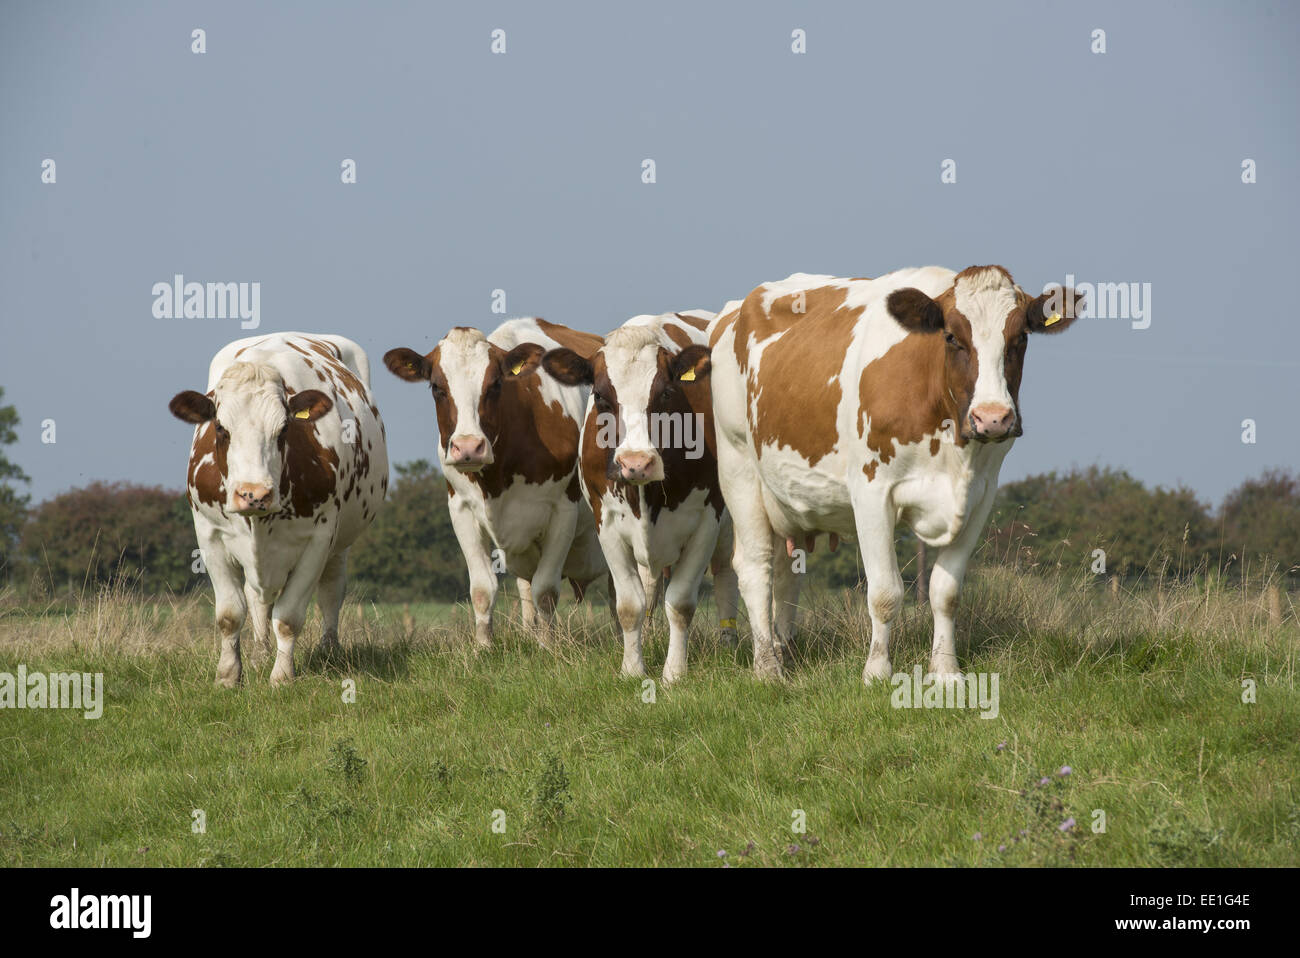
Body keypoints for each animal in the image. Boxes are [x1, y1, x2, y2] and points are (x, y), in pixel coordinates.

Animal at [168, 333, 389, 687]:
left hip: (340, 543)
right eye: (221, 428)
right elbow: (230, 614)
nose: (253, 494)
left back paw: (330, 651)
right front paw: (228, 675)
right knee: (257, 597)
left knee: (331, 590)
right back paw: (259, 655)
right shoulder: (209, 534)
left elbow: (288, 617)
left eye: (284, 429)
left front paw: (282, 676)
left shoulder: (318, 539)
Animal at [383, 318, 610, 647]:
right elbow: (482, 588)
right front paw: (483, 647)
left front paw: (546, 647)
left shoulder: (563, 510)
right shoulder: (461, 508)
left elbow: (545, 591)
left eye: (495, 385)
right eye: (437, 387)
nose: (468, 447)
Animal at [541, 310, 740, 683]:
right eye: (600, 396)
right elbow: (630, 605)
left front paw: (674, 673)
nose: (636, 463)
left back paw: (729, 642)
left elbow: (681, 603)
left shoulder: (706, 521)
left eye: (666, 392)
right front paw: (632, 669)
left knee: (725, 573)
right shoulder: (606, 523)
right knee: (648, 588)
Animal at [709, 266, 1083, 683]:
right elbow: (885, 592)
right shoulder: (872, 491)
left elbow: (945, 591)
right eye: (951, 337)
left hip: (785, 499)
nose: (992, 417)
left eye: (1020, 337)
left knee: (786, 571)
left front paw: (946, 670)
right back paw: (768, 668)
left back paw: (783, 651)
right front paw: (876, 670)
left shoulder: (981, 496)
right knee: (754, 567)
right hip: (738, 466)